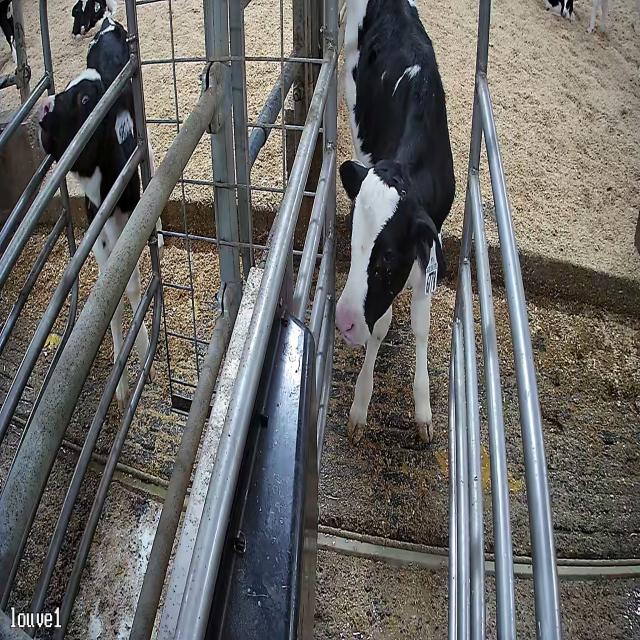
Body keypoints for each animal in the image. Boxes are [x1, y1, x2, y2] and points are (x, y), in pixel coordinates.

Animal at [38, 18, 162, 410]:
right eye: (65, 89)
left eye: (85, 99)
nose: (43, 107)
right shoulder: (98, 232)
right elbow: (111, 297)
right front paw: (120, 384)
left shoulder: (129, 223)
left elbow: (132, 286)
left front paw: (143, 349)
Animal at [336, 0, 455, 444]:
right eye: (352, 243)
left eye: (387, 257)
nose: (343, 322)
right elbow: (381, 325)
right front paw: (360, 405)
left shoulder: (427, 243)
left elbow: (421, 323)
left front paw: (423, 411)